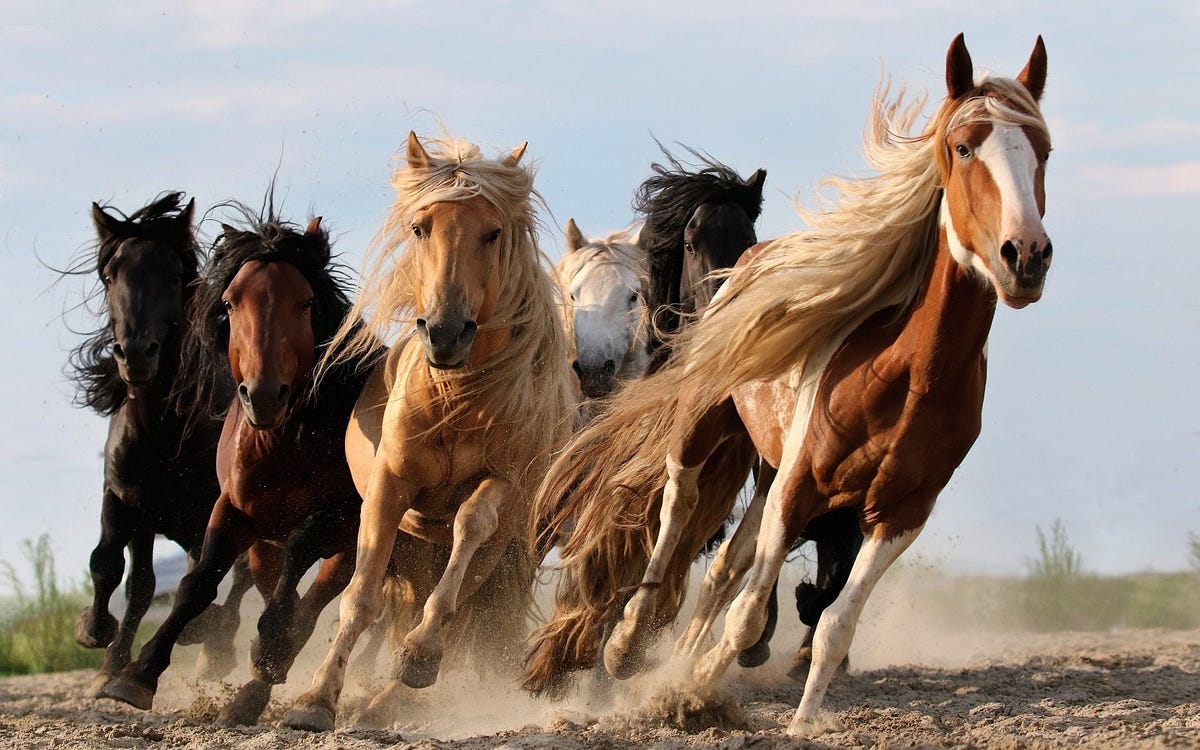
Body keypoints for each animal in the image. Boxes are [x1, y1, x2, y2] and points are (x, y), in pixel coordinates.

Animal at [67, 193, 252, 697]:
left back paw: (214, 648)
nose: (135, 354)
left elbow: (205, 576)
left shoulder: (213, 509)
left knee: (240, 578)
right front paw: (99, 643)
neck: (162, 433)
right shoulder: (127, 500)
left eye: (173, 276)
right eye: (111, 276)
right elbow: (117, 570)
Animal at [97, 206, 380, 725]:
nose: (263, 395)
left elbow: (302, 551)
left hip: (351, 546)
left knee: (312, 604)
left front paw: (269, 646)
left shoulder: (345, 517)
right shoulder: (233, 510)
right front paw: (137, 675)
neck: (286, 441)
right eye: (230, 304)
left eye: (305, 303)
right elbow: (198, 582)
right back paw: (250, 691)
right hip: (266, 546)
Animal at [281, 132, 576, 732]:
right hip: (417, 546)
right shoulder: (389, 490)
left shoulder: (503, 486)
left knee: (458, 609)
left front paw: (418, 654)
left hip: (497, 551)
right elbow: (361, 598)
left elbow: (469, 528)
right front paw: (315, 699)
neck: (456, 400)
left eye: (493, 232)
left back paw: (393, 693)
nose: (444, 332)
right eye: (421, 227)